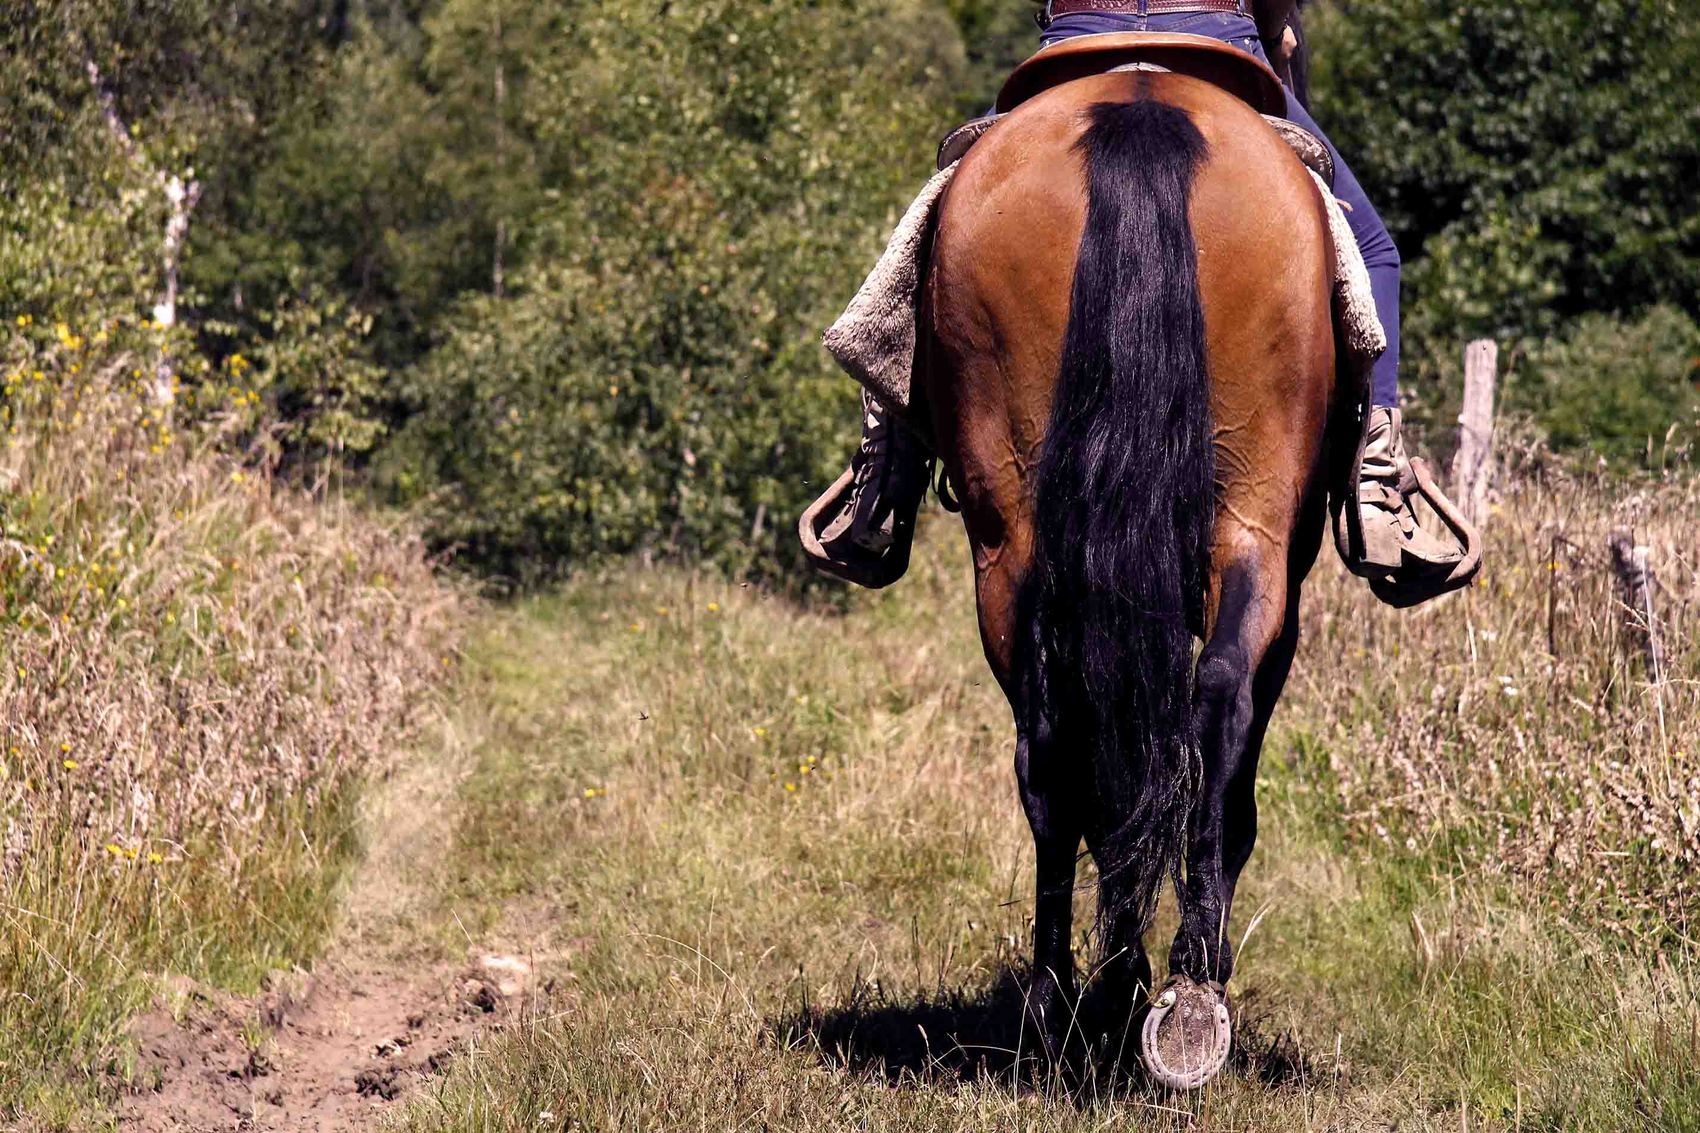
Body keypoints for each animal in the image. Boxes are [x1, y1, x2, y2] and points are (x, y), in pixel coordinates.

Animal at [919, 65, 1341, 1088]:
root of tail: (1141, 106)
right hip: (1255, 518)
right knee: (1209, 708)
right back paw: (1167, 989)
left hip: (1012, 544)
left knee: (1057, 741)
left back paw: (1090, 996)